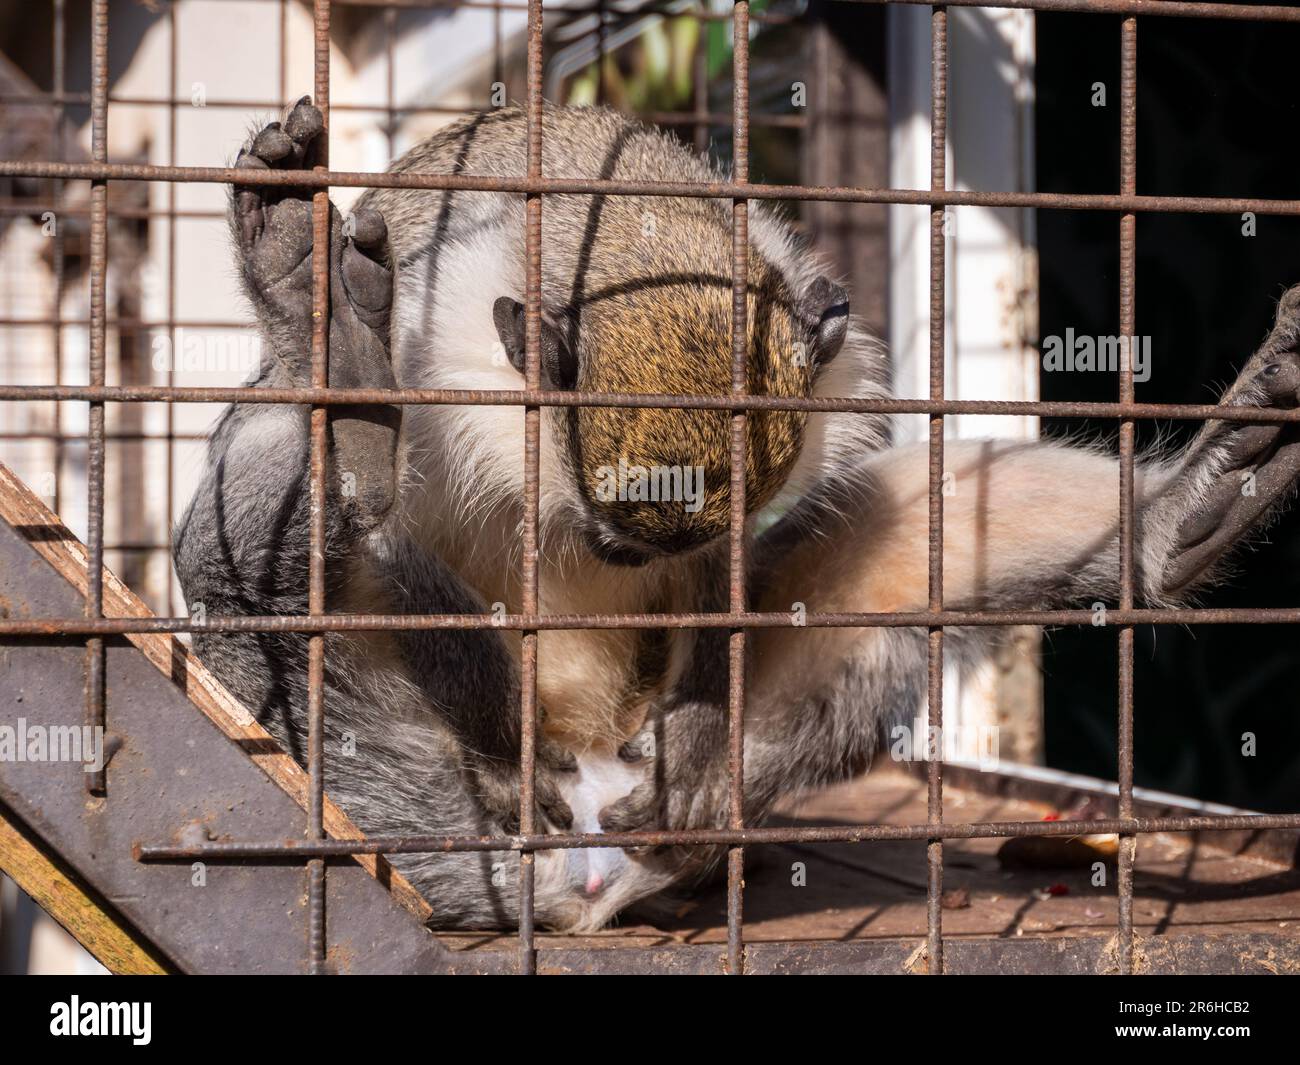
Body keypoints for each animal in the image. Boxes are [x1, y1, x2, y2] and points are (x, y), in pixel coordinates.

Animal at [173, 96, 1300, 933]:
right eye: (609, 539)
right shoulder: (435, 324)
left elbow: (737, 574)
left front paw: (698, 731)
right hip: (347, 775)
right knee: (246, 557)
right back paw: (326, 354)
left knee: (898, 525)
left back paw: (1178, 520)